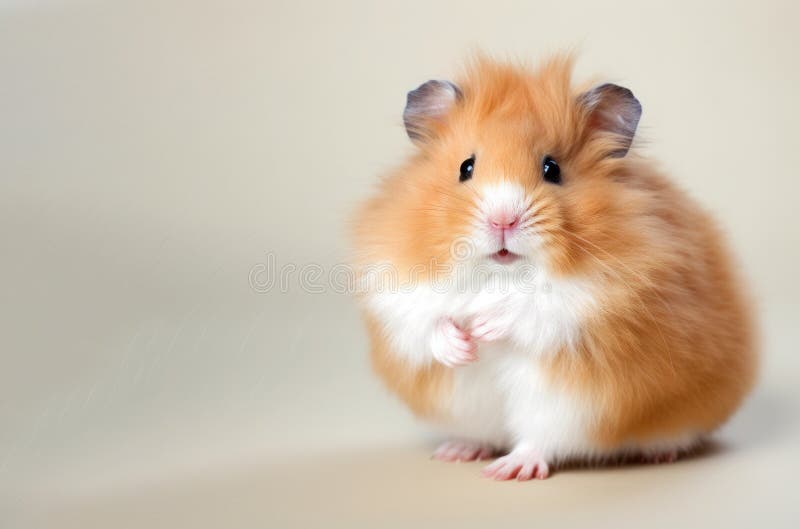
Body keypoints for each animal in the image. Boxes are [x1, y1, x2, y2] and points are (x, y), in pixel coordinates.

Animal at [351, 55, 757, 480]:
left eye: (552, 169)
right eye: (465, 167)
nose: (503, 220)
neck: (501, 274)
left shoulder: (601, 300)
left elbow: (536, 309)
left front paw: (483, 326)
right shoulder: (396, 290)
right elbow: (426, 320)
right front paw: (462, 345)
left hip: (566, 408)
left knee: (541, 440)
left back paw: (513, 469)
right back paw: (458, 451)